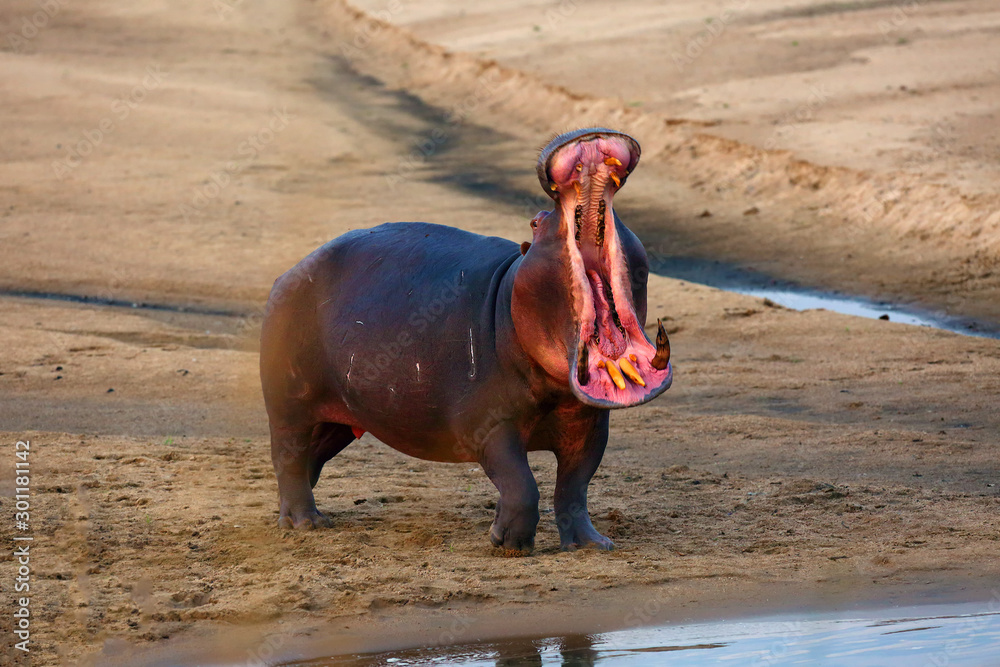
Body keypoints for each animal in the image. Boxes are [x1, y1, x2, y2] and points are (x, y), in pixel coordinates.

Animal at [259, 128, 672, 552]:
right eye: (535, 221)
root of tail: (287, 273)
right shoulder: (488, 425)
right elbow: (522, 485)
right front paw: (509, 544)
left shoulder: (590, 428)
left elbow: (574, 487)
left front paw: (591, 544)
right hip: (290, 404)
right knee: (288, 456)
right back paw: (305, 523)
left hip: (343, 414)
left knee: (311, 456)